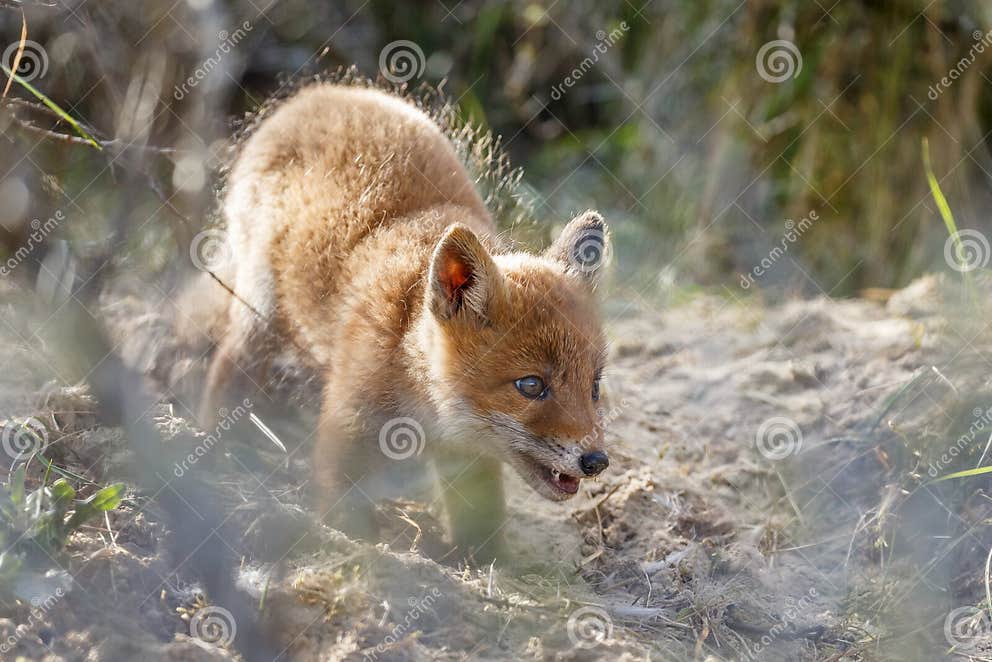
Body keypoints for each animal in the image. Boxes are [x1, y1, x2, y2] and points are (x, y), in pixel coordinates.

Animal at [197, 82, 612, 561]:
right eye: (530, 386)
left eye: (594, 386)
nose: (597, 461)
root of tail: (321, 91)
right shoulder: (348, 421)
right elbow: (342, 508)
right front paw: (353, 544)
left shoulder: (467, 458)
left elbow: (482, 527)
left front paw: (485, 563)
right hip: (260, 312)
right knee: (227, 369)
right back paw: (215, 447)